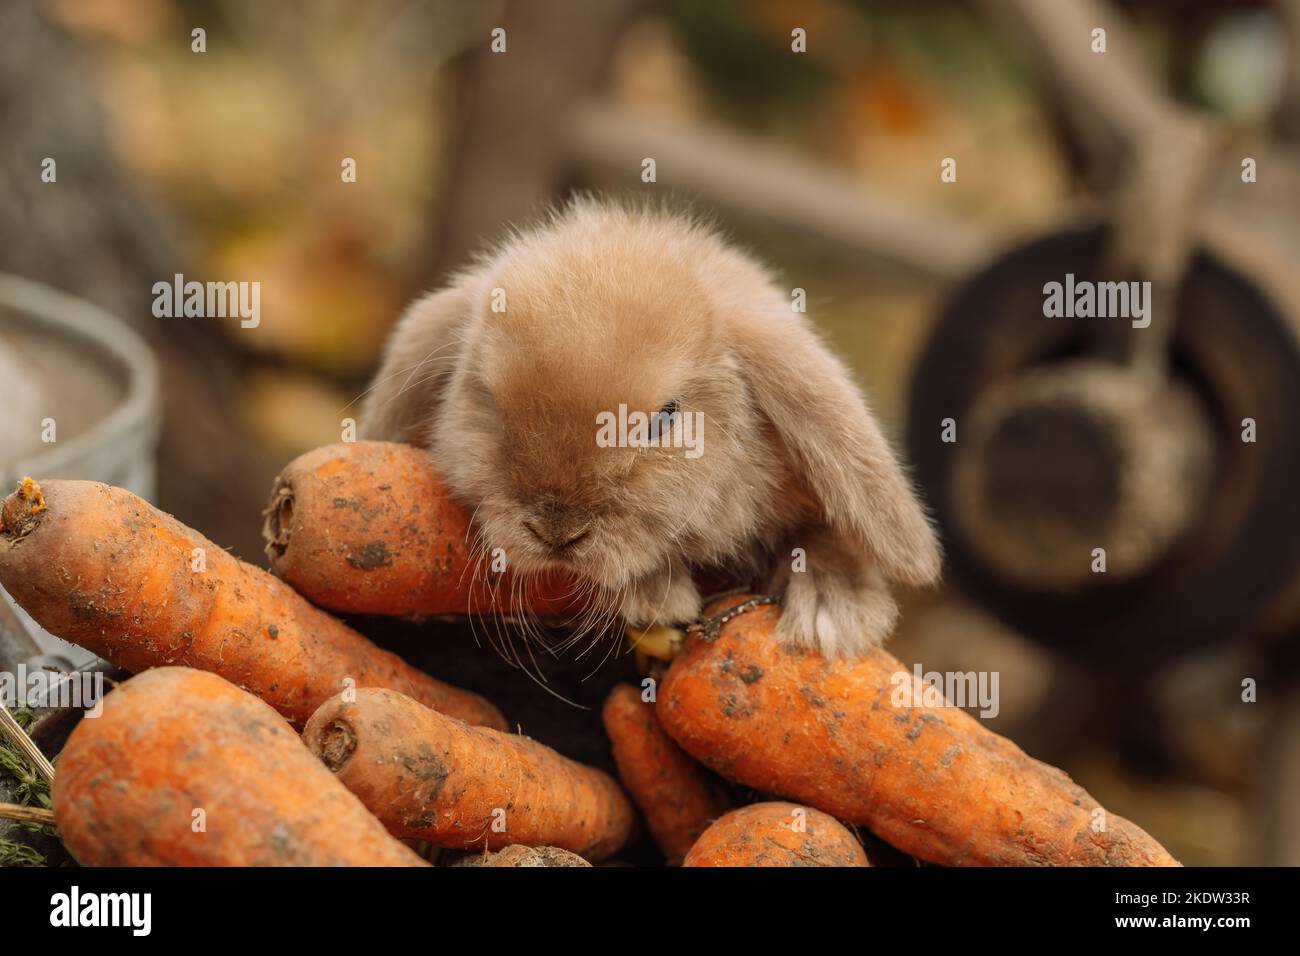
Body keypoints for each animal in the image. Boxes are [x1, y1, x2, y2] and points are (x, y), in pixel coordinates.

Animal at [359, 198, 940, 657]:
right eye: (490, 404)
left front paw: (831, 616)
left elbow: (822, 536)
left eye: (663, 420)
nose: (556, 532)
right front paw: (656, 596)